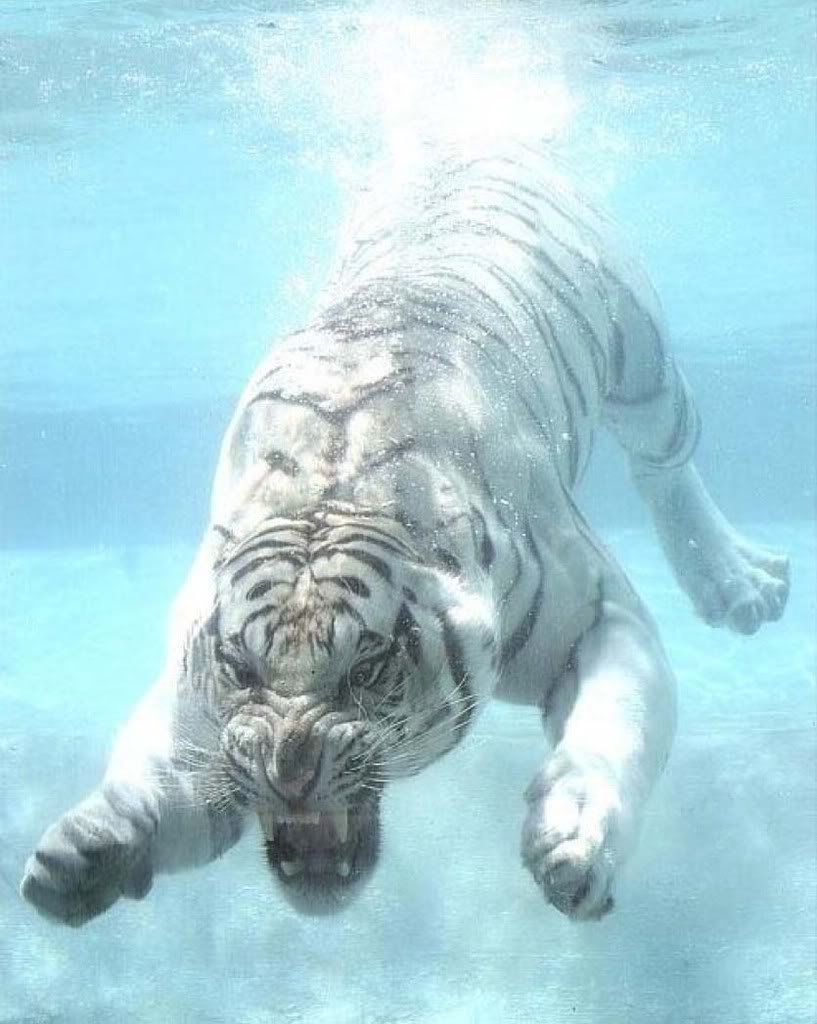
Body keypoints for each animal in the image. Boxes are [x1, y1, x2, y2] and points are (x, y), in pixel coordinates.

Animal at [20, 142, 789, 926]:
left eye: (364, 670)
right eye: (240, 669)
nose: (288, 772)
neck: (326, 485)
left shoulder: (599, 613)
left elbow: (616, 726)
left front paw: (574, 840)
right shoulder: (194, 686)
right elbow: (159, 757)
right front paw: (91, 843)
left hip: (644, 368)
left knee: (662, 464)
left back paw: (737, 583)